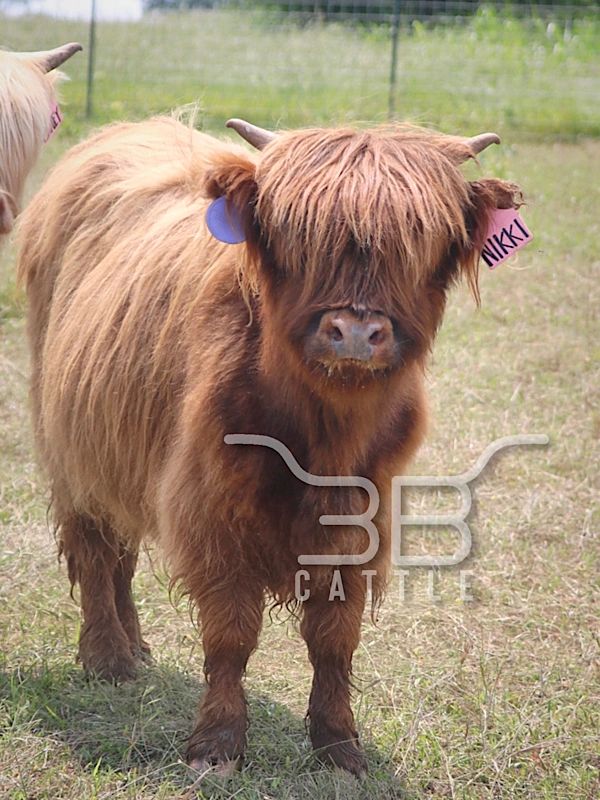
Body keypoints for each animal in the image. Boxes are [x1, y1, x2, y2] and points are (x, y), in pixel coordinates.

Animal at [16, 115, 522, 776]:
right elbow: (231, 631)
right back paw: (110, 659)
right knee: (95, 546)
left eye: (419, 241)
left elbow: (336, 633)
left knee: (119, 545)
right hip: (71, 443)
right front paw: (218, 744)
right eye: (300, 237)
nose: (354, 331)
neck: (323, 436)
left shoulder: (363, 516)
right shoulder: (212, 510)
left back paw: (137, 646)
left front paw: (338, 743)